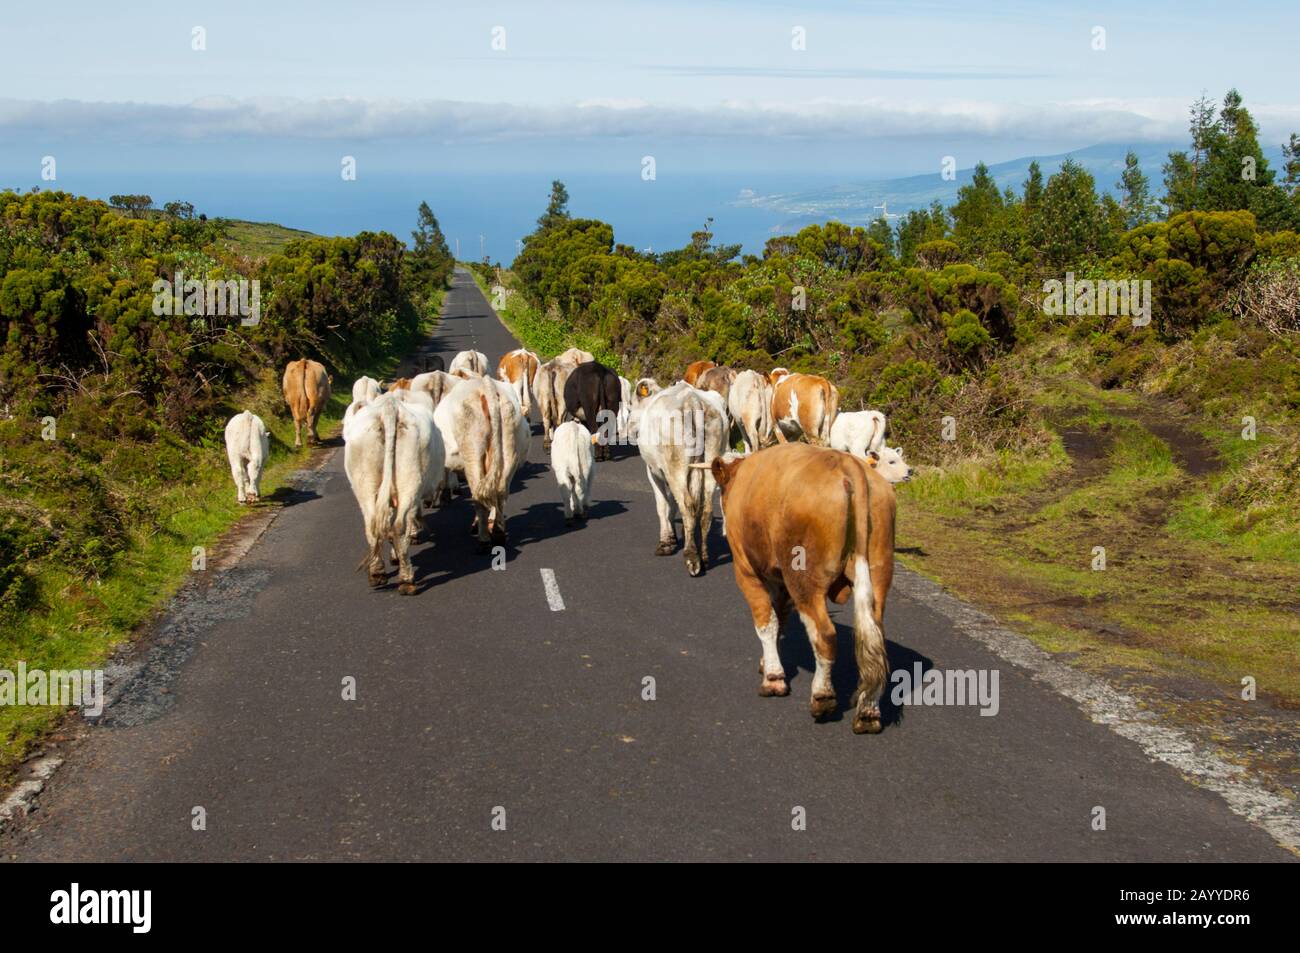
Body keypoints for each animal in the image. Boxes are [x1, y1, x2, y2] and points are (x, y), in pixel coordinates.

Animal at [342, 392, 444, 594]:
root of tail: (389, 407)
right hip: (411, 479)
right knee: (399, 526)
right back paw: (406, 580)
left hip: (364, 483)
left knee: (372, 526)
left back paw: (377, 573)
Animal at [433, 376, 529, 548]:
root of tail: (485, 384)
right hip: (509, 450)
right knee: (499, 490)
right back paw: (497, 532)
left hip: (472, 450)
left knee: (478, 494)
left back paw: (483, 538)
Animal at [638, 382, 728, 576]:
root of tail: (692, 400)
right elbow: (672, 504)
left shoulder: (653, 471)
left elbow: (663, 505)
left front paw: (666, 543)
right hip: (710, 462)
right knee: (705, 508)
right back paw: (704, 556)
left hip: (676, 467)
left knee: (687, 505)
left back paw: (691, 557)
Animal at [707, 442, 895, 734]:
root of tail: (847, 463)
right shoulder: (780, 580)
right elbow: (780, 618)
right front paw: (768, 663)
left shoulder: (747, 570)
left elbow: (767, 622)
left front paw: (773, 677)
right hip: (877, 573)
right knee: (875, 638)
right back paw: (868, 710)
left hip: (804, 578)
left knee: (824, 634)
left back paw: (822, 696)